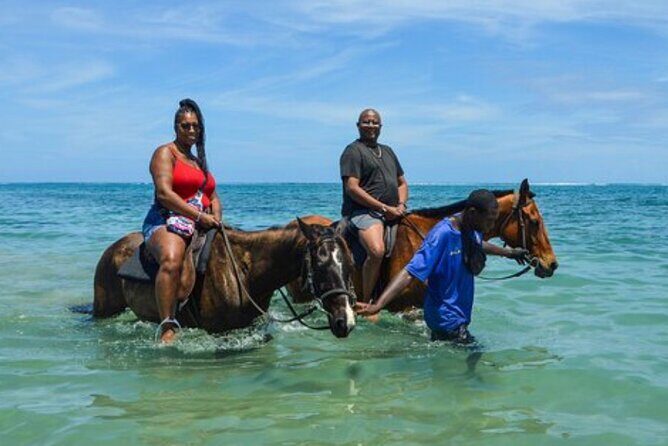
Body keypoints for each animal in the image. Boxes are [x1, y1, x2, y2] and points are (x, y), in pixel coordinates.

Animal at [92, 218, 357, 338]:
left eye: (351, 263)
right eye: (320, 265)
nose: (346, 321)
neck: (243, 271)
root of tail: (112, 249)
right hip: (104, 310)